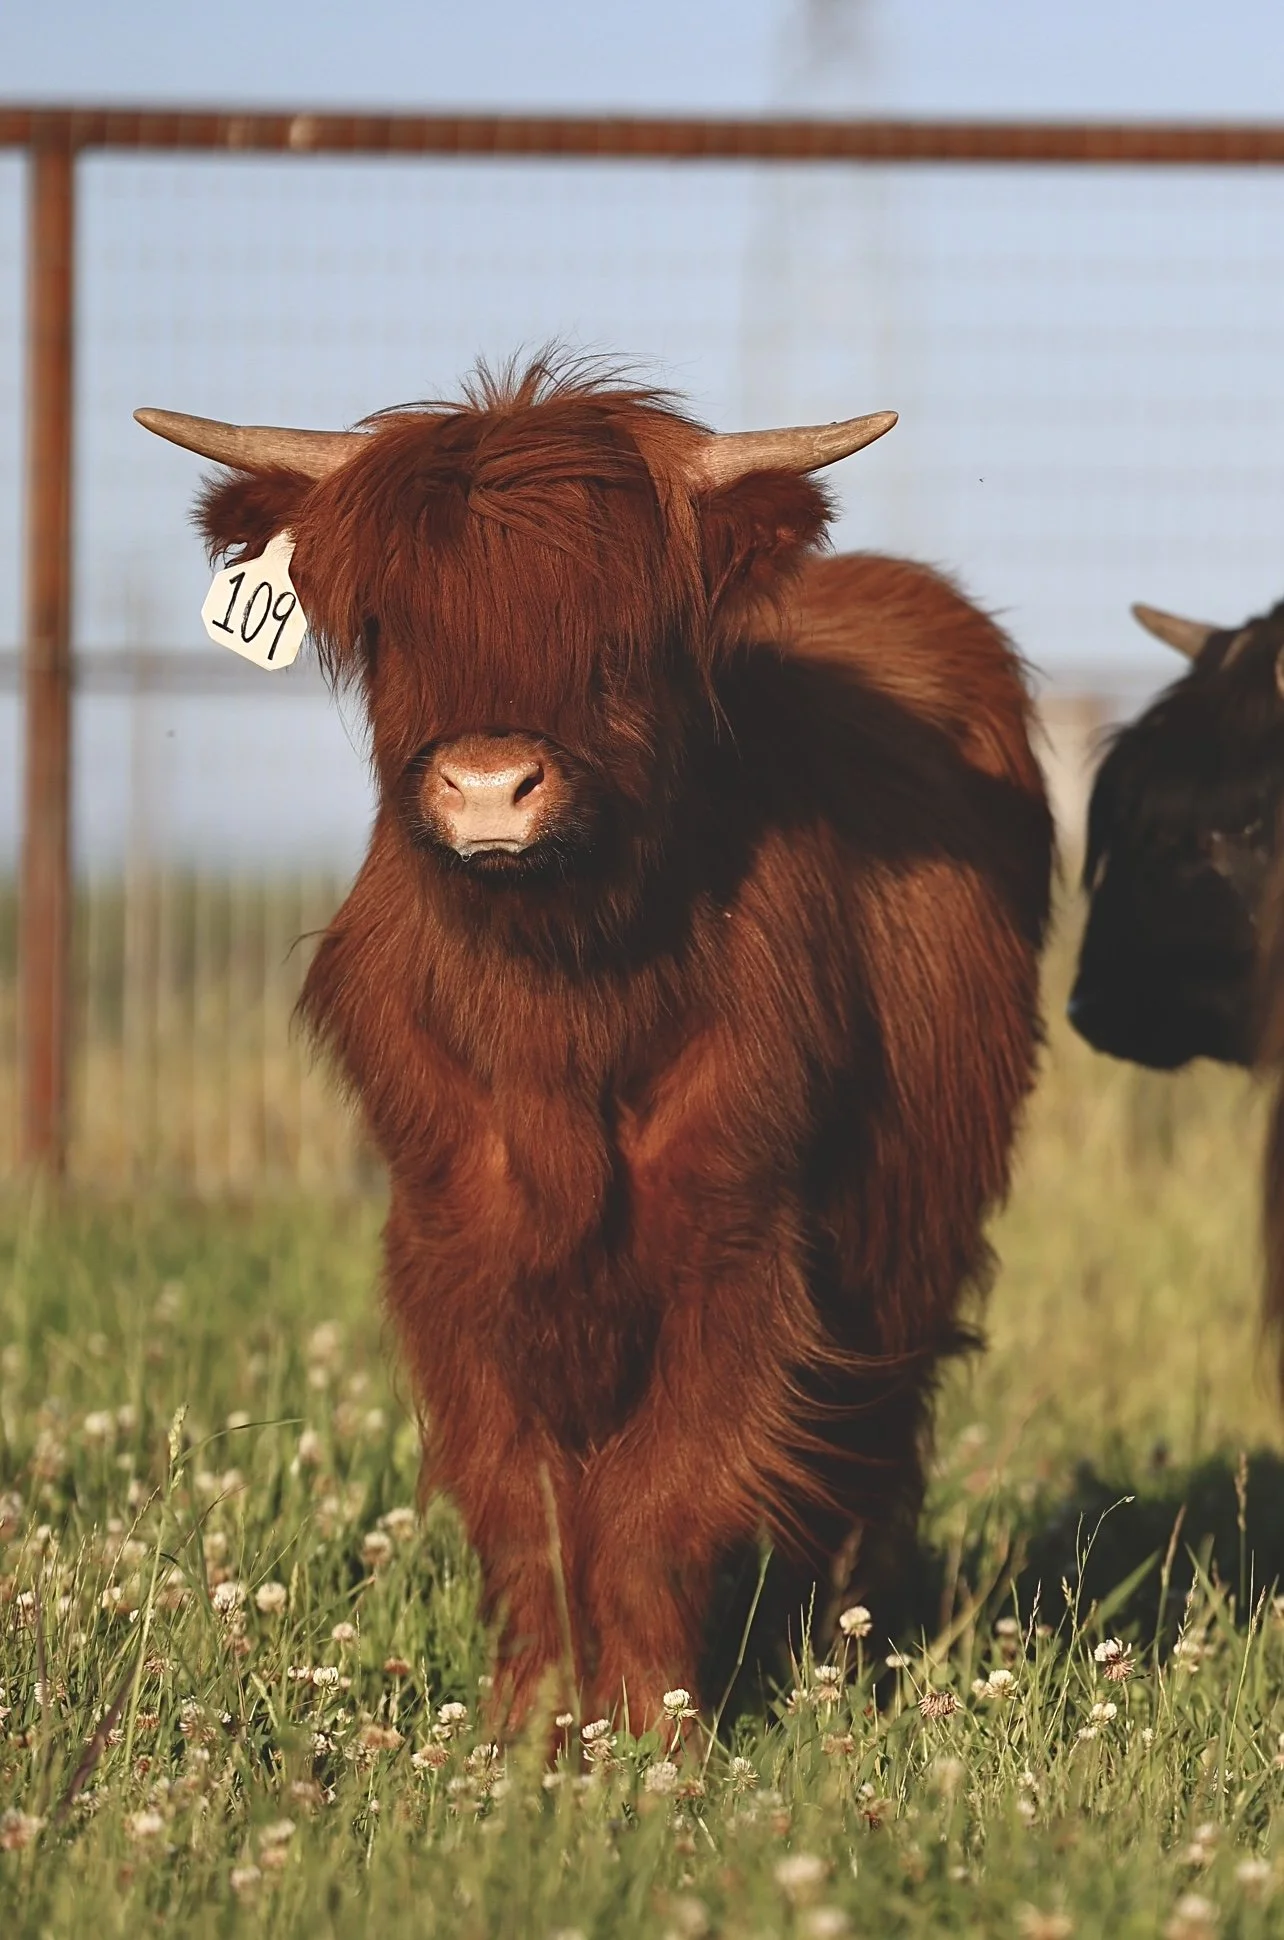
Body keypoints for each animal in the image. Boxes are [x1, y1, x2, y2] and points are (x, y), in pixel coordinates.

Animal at [136, 359, 1053, 1733]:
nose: (488, 783)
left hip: (910, 1231)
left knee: (867, 1444)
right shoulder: (449, 1235)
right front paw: (528, 1726)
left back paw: (839, 1650)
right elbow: (523, 1501)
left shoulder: (737, 1238)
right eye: (398, 628)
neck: (558, 1009)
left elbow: (654, 1503)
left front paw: (650, 1728)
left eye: (618, 641)